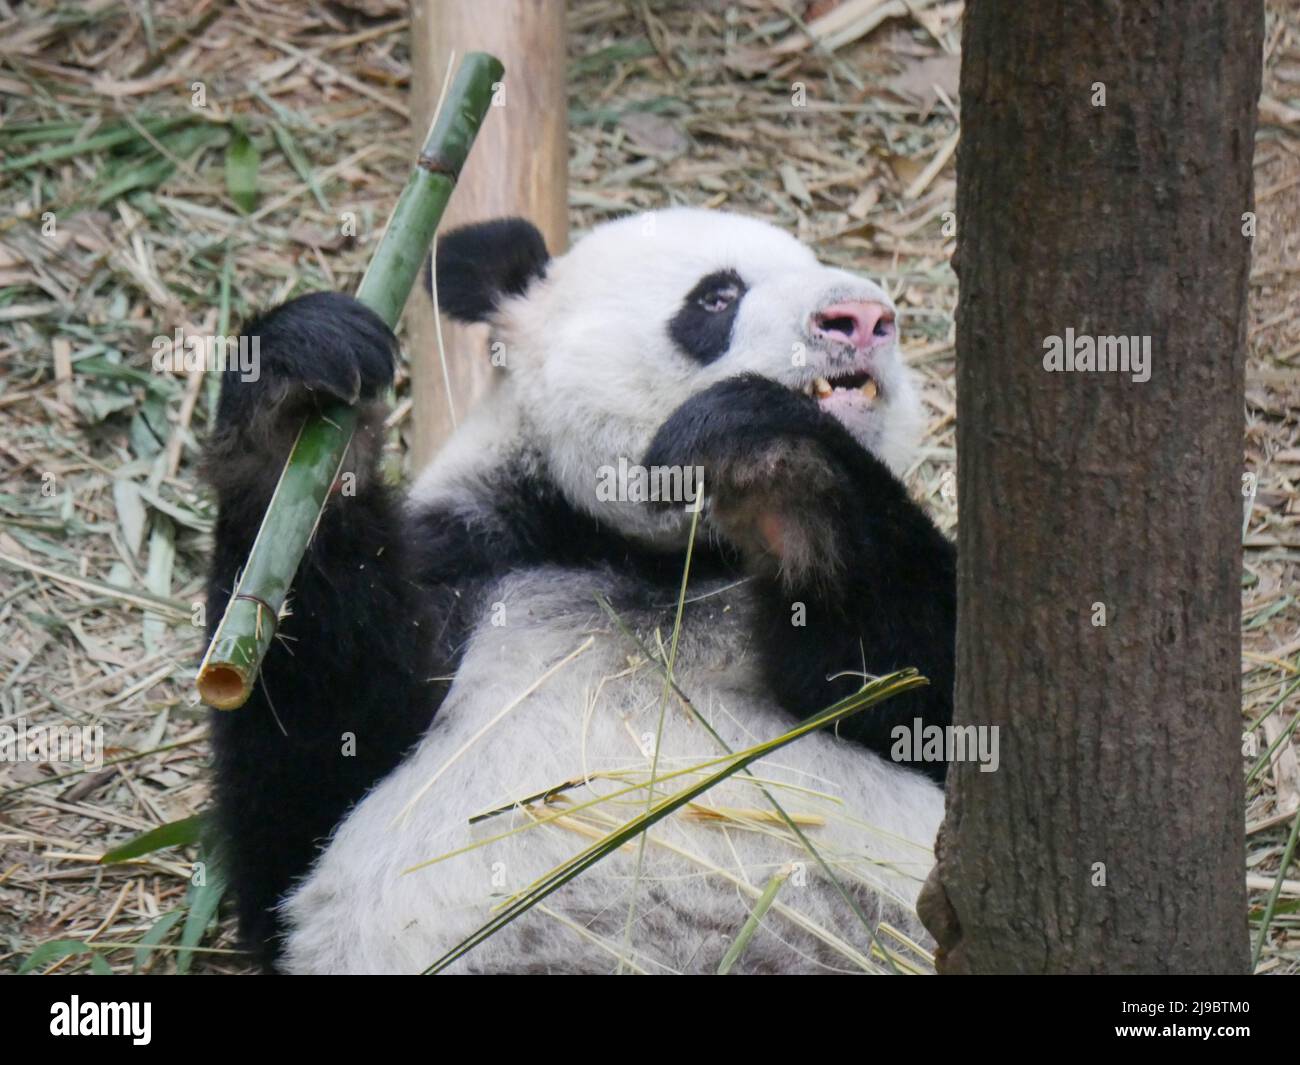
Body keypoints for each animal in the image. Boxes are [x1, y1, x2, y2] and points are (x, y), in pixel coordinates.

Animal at [205, 207, 956, 974]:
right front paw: (296, 399)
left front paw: (779, 457)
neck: (649, 561)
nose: (861, 316)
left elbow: (923, 688)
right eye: (716, 296)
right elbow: (308, 776)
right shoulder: (474, 562)